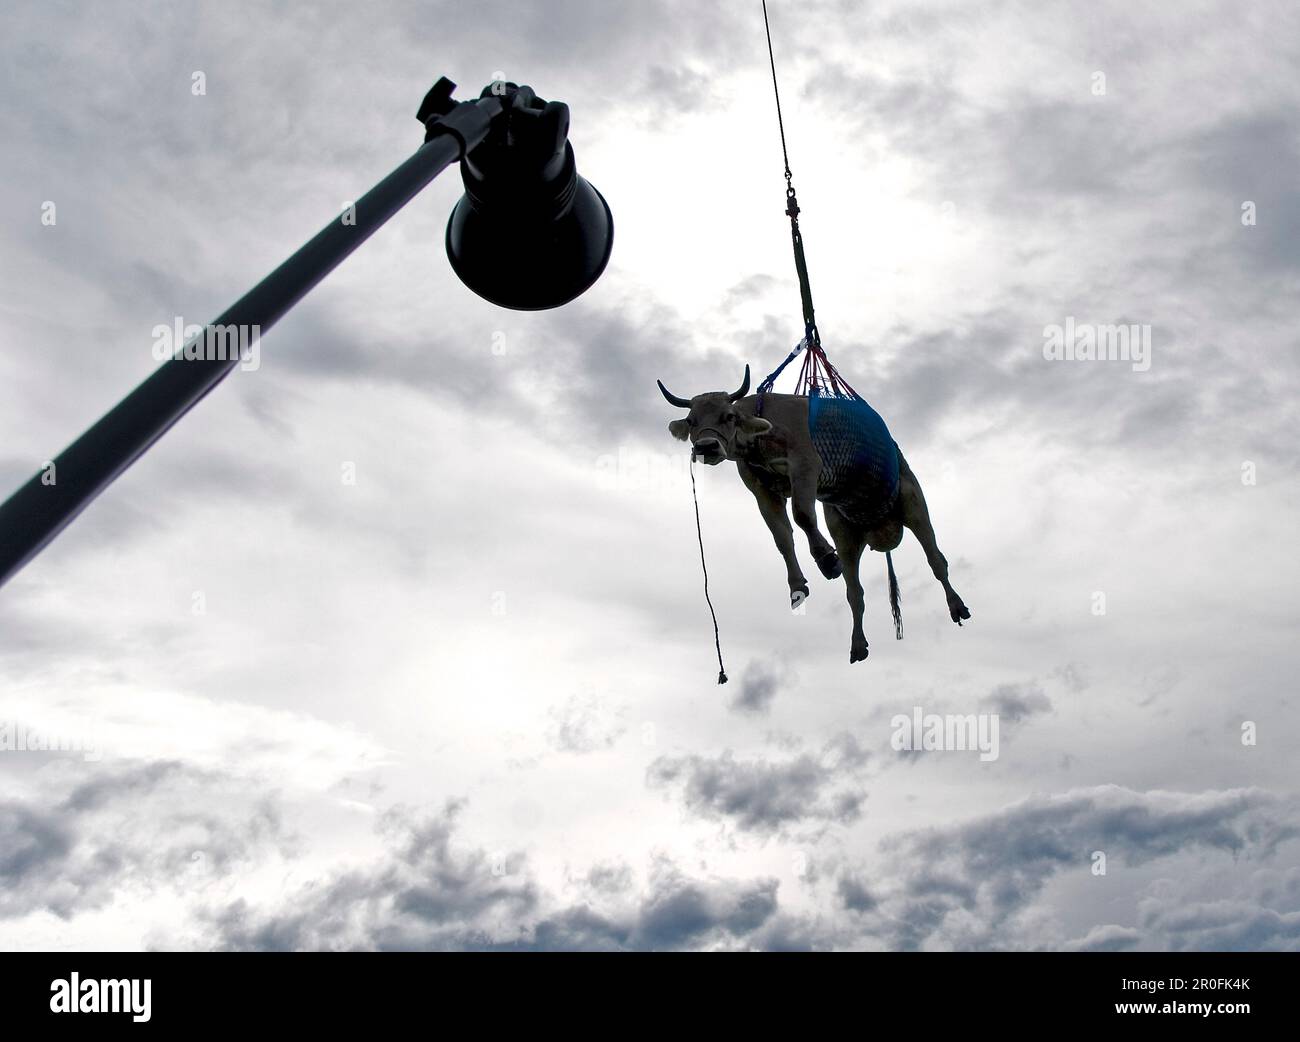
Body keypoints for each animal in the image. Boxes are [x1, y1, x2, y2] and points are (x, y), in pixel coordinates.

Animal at [658, 365, 970, 662]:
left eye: (729, 416)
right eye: (691, 421)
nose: (706, 447)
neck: (762, 435)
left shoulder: (806, 466)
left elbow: (803, 515)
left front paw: (825, 558)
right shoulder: (761, 489)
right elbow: (782, 536)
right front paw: (797, 585)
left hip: (913, 502)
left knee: (936, 561)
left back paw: (957, 605)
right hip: (844, 532)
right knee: (855, 593)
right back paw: (858, 644)